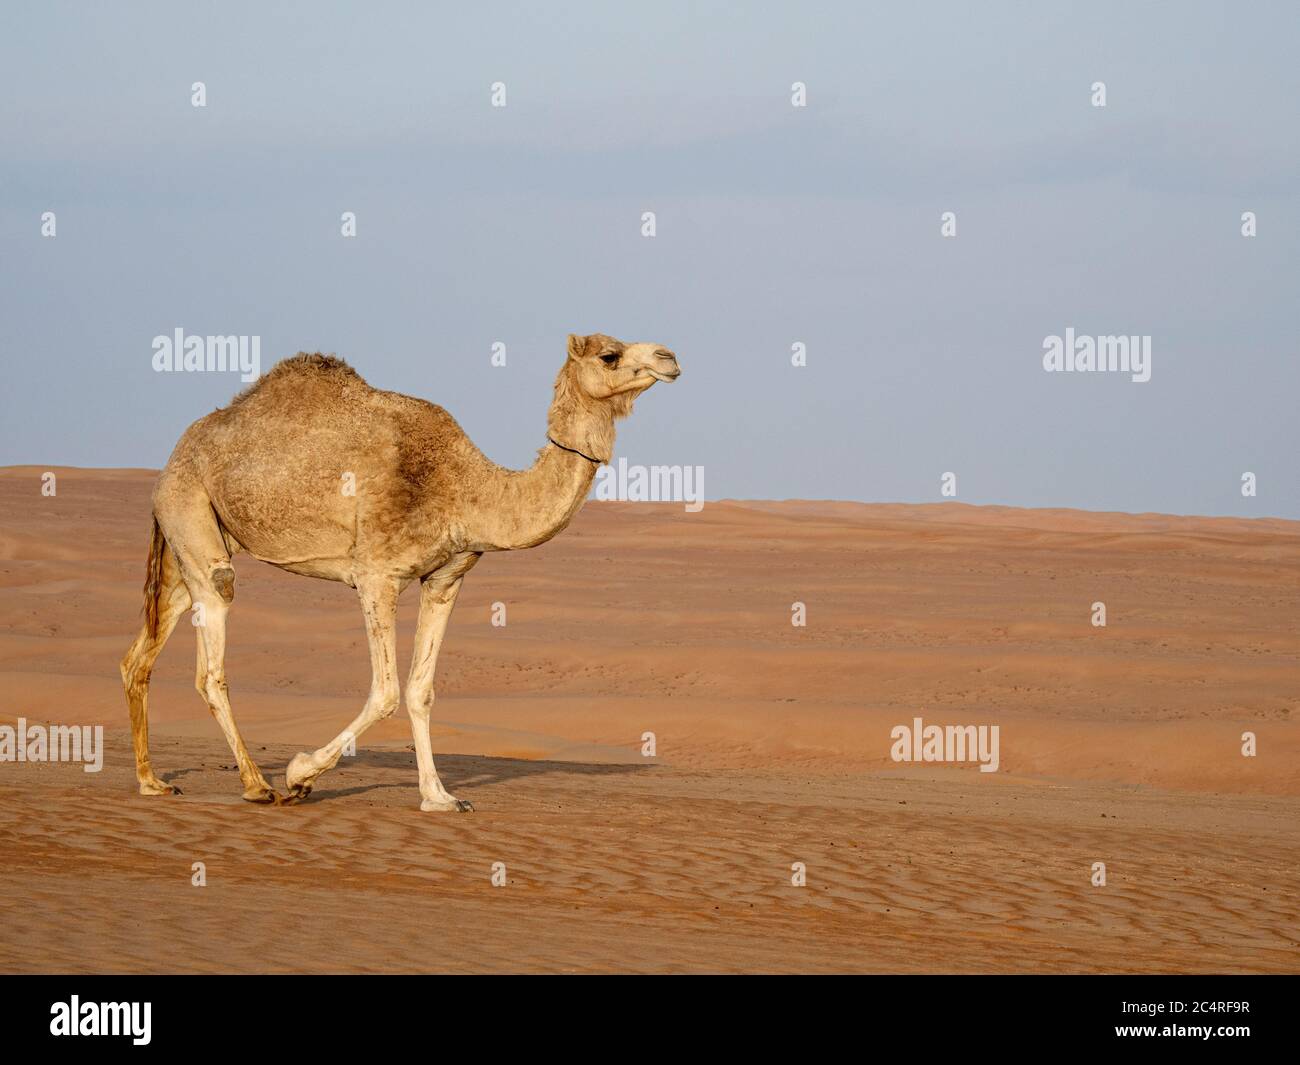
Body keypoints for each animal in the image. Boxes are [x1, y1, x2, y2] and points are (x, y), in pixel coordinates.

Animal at [119, 333, 681, 810]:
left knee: (139, 655)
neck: (468, 489)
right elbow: (386, 690)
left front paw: (440, 797)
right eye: (609, 355)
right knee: (212, 650)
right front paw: (300, 775)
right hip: (191, 511)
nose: (669, 357)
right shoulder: (376, 575)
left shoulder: (447, 577)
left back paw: (152, 781)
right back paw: (257, 785)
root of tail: (173, 457)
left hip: (185, 547)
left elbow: (420, 690)